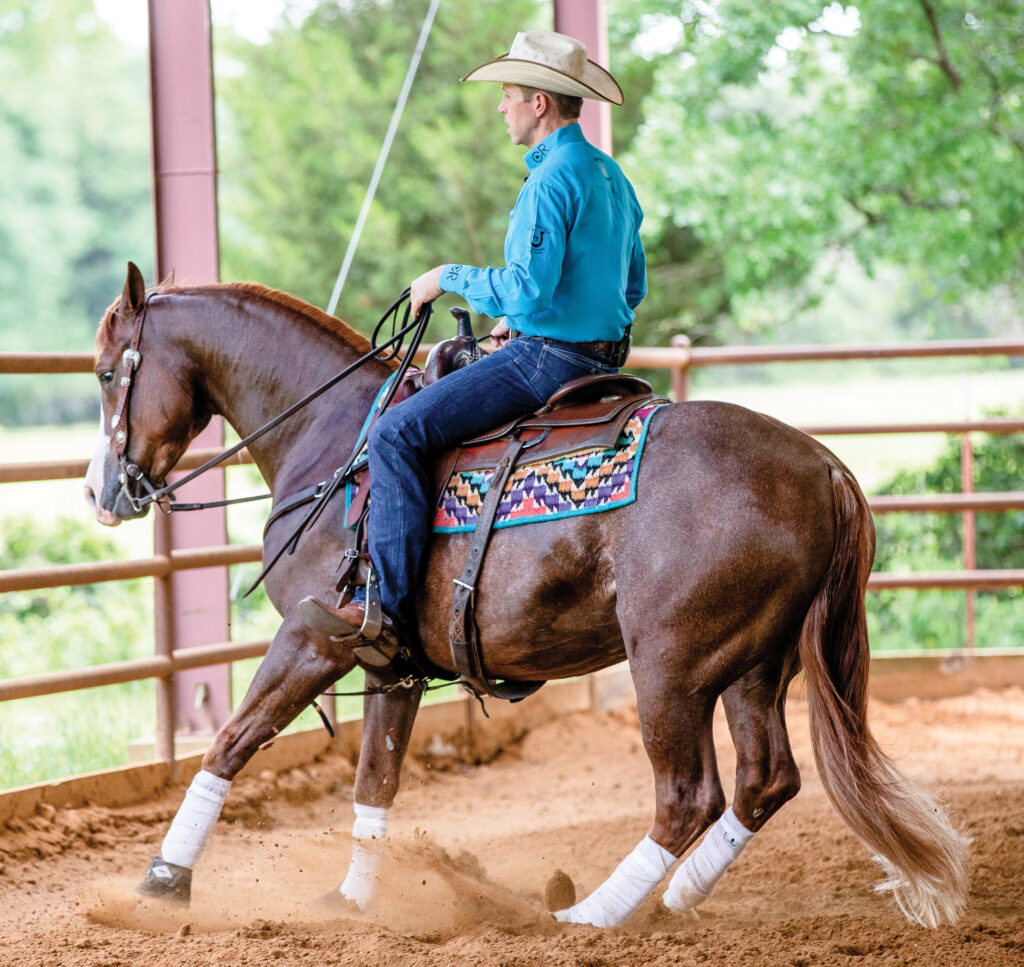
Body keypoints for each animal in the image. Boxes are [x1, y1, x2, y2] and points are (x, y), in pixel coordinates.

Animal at [84, 262, 969, 928]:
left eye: (104, 371)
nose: (101, 491)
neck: (337, 440)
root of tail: (823, 467)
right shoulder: (392, 663)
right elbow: (376, 779)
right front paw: (351, 900)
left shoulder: (313, 636)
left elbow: (230, 742)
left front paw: (161, 882)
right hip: (757, 663)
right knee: (765, 779)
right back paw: (679, 895)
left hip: (671, 666)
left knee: (688, 794)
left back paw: (591, 915)